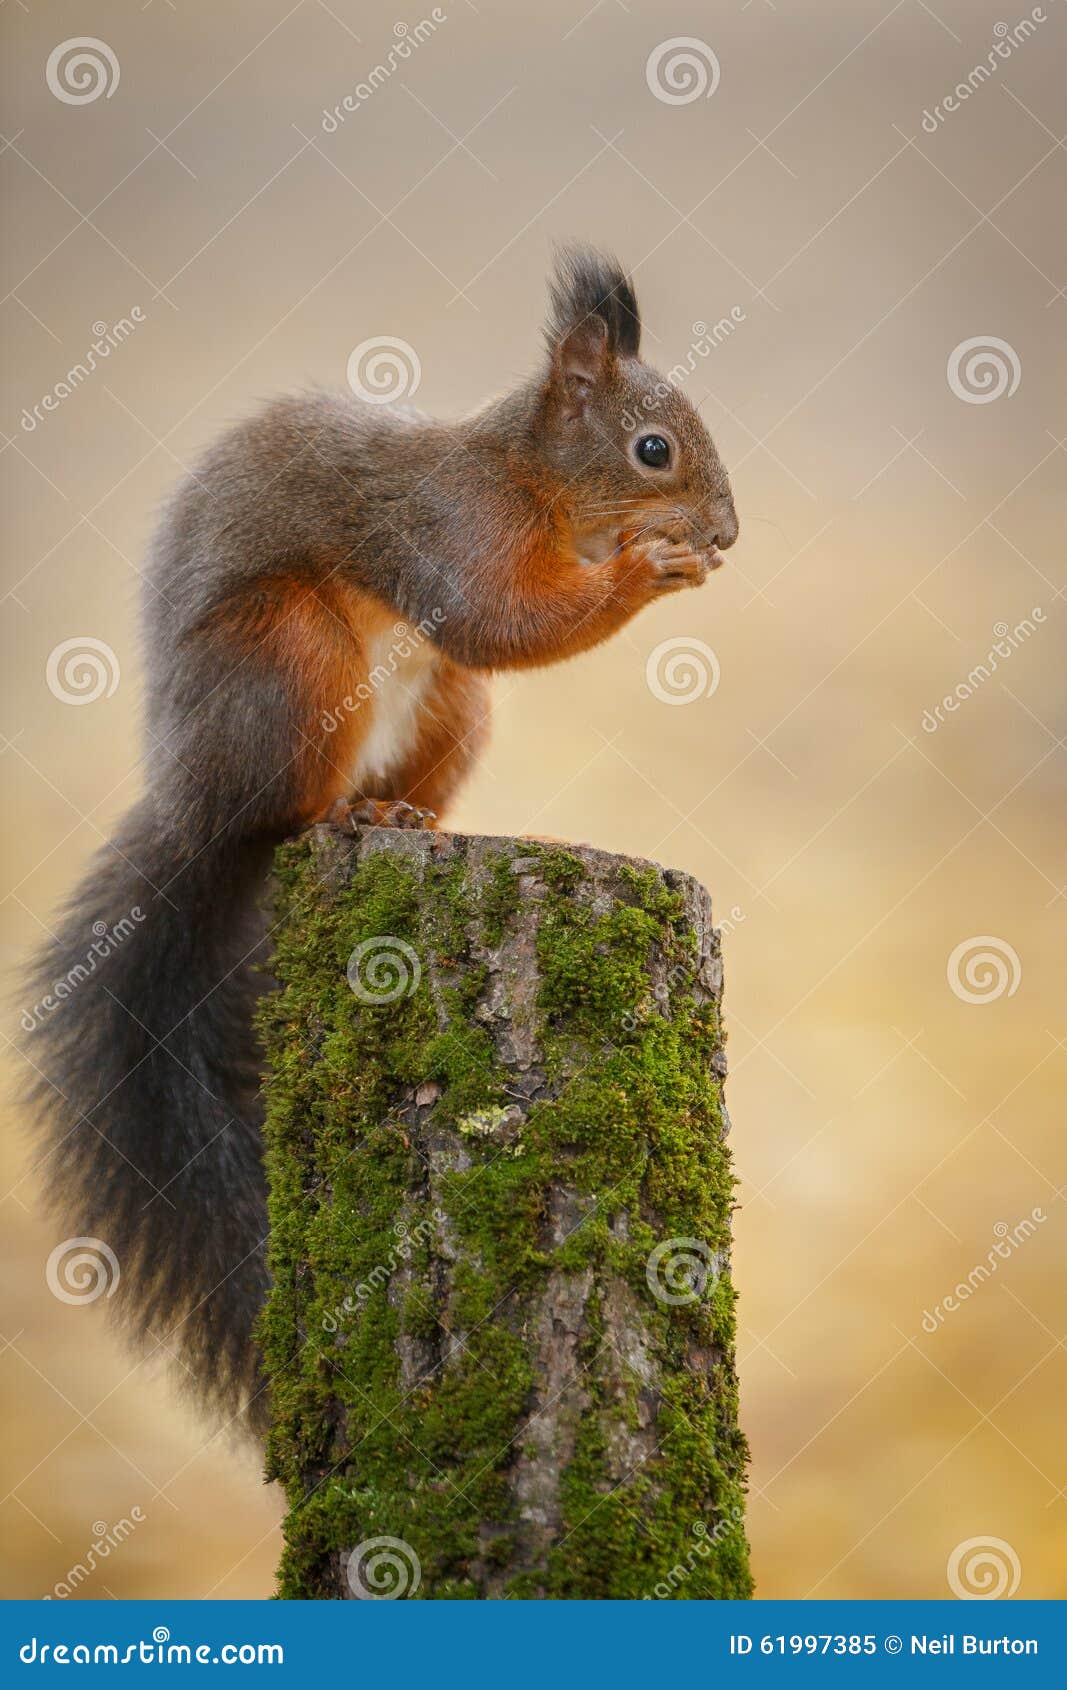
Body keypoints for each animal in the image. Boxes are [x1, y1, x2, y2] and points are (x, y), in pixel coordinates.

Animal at [23, 247, 738, 1433]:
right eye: (653, 449)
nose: (725, 534)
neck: (526, 481)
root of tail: (195, 803)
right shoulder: (445, 532)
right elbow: (494, 617)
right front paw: (647, 567)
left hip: (453, 708)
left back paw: (421, 818)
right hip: (288, 657)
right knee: (282, 809)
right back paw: (341, 815)